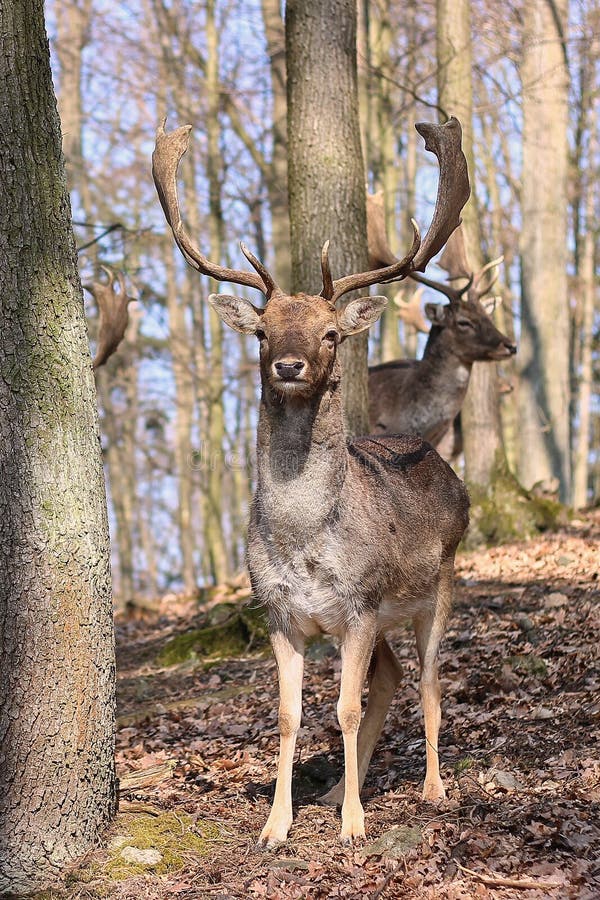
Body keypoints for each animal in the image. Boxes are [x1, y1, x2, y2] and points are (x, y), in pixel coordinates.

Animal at [153, 116, 471, 846]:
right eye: (263, 332)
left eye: (330, 332)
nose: (291, 366)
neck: (302, 540)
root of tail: (448, 470)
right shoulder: (281, 612)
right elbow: (292, 714)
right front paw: (278, 825)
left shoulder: (358, 604)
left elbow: (345, 709)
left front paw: (354, 826)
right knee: (391, 678)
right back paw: (332, 794)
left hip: (438, 583)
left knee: (431, 680)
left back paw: (434, 789)